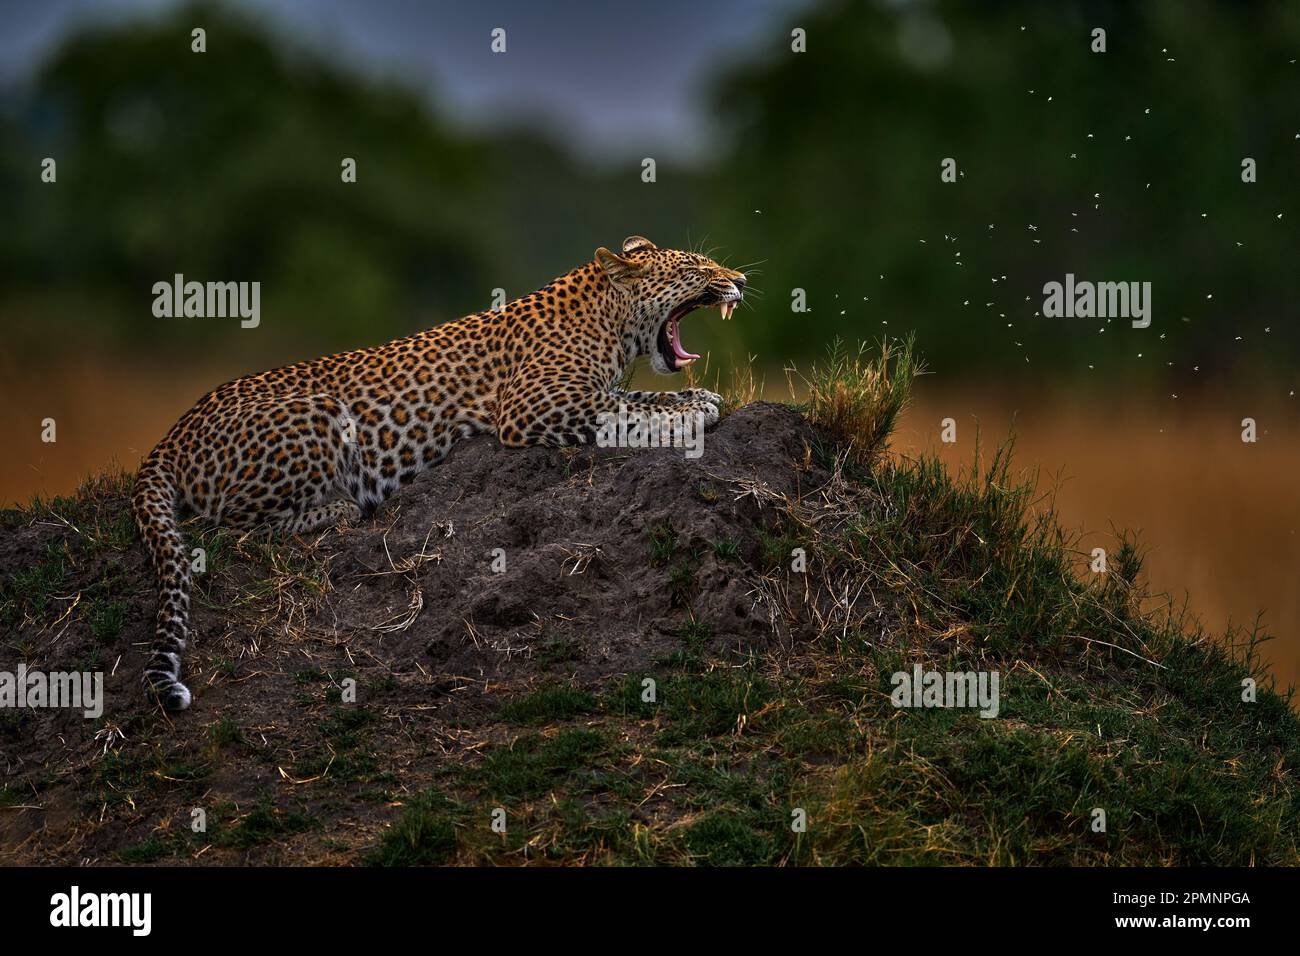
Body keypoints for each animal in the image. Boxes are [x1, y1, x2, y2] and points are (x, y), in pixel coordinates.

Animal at [132, 235, 747, 711]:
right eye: (698, 269)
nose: (739, 279)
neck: (611, 322)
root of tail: (172, 434)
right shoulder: (535, 406)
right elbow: (630, 413)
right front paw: (690, 415)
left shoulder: (591, 391)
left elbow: (639, 397)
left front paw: (699, 398)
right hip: (320, 412)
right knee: (228, 521)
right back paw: (342, 505)